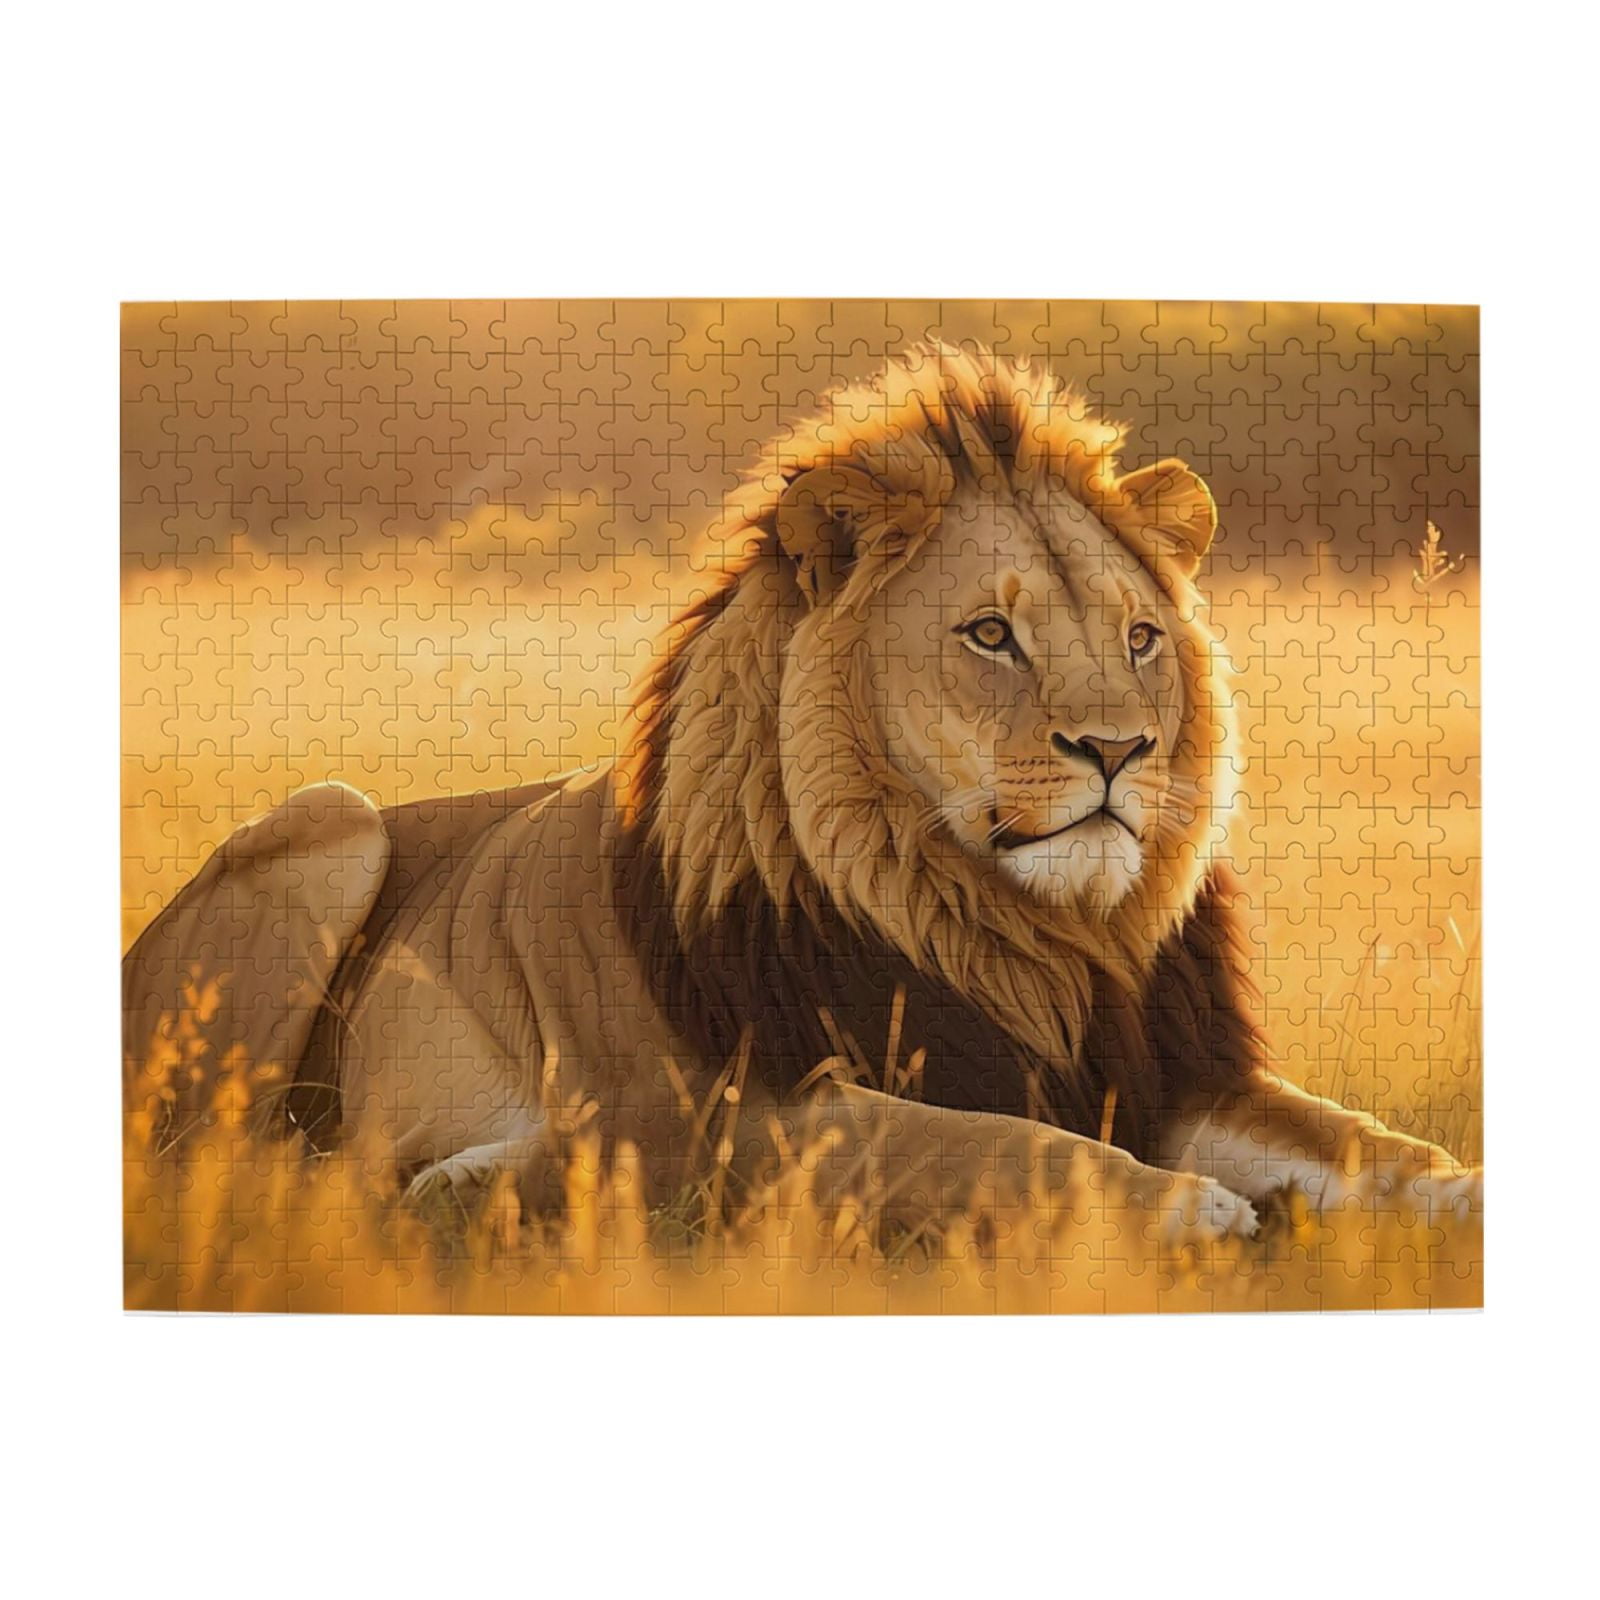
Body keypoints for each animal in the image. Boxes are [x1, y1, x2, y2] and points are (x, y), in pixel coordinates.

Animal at [124, 344, 1482, 1246]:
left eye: (1140, 636)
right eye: (991, 634)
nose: (1119, 749)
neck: (1012, 933)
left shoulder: (1159, 1065)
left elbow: (1360, 1138)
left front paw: (1458, 1187)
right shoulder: (731, 1111)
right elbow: (991, 1143)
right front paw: (1187, 1203)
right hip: (334, 819)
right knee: (204, 1150)